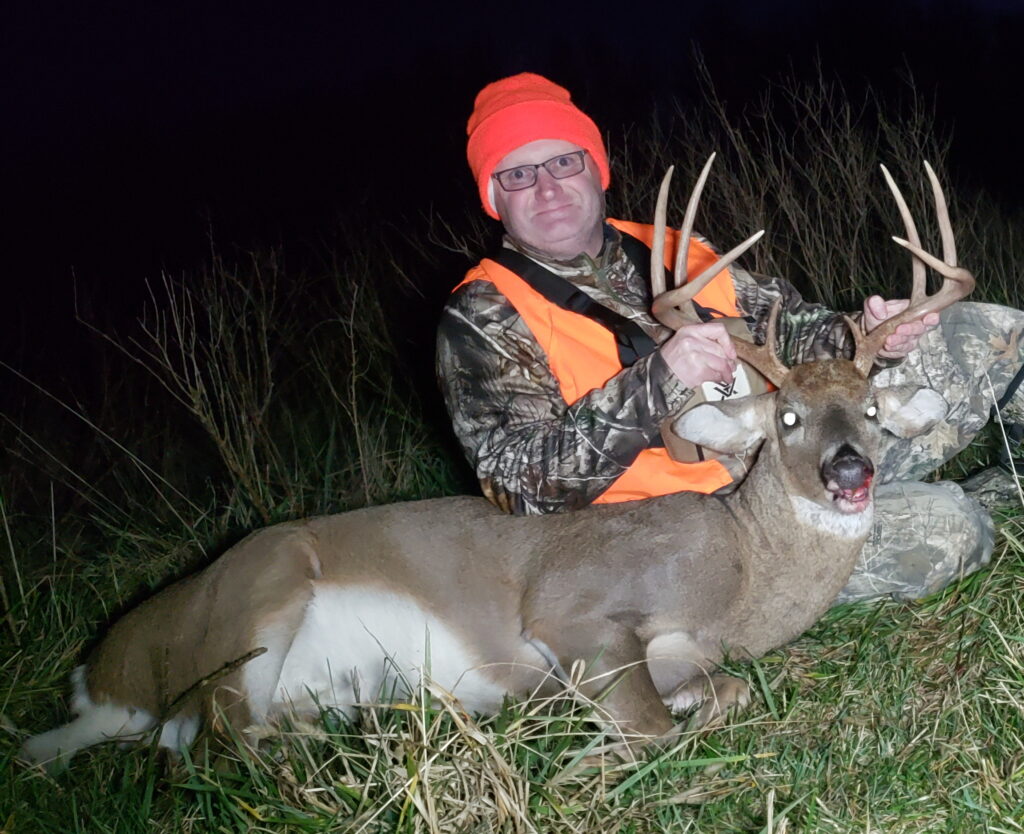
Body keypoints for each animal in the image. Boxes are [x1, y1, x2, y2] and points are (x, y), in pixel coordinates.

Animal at [20, 162, 974, 772]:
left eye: (874, 414)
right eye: (786, 420)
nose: (849, 474)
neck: (738, 576)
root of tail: (96, 674)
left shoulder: (689, 653)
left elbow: (725, 693)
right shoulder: (570, 608)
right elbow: (652, 728)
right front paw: (579, 748)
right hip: (256, 595)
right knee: (212, 740)